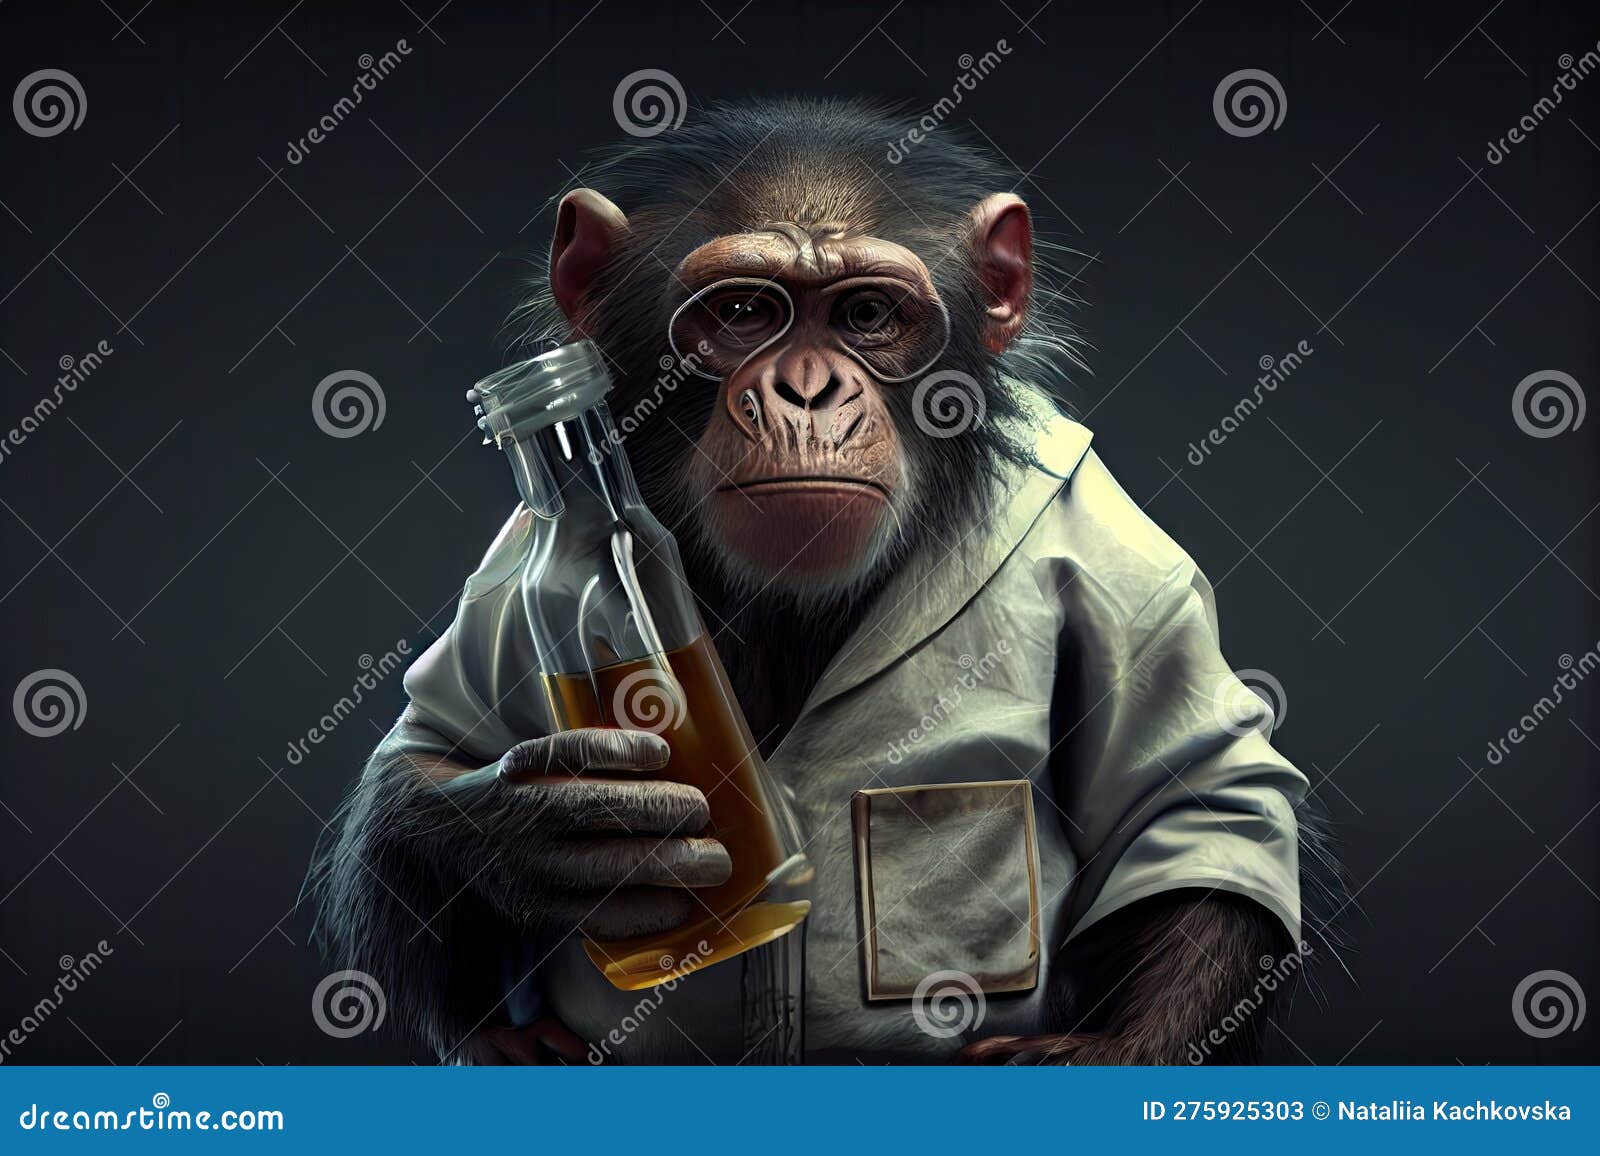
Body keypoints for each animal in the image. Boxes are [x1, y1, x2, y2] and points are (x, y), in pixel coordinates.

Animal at [312, 96, 1347, 1065]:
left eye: (866, 316)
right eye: (742, 312)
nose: (807, 389)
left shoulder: (1117, 548)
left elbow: (1200, 796)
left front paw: (1102, 1054)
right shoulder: (508, 579)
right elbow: (431, 746)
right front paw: (539, 835)